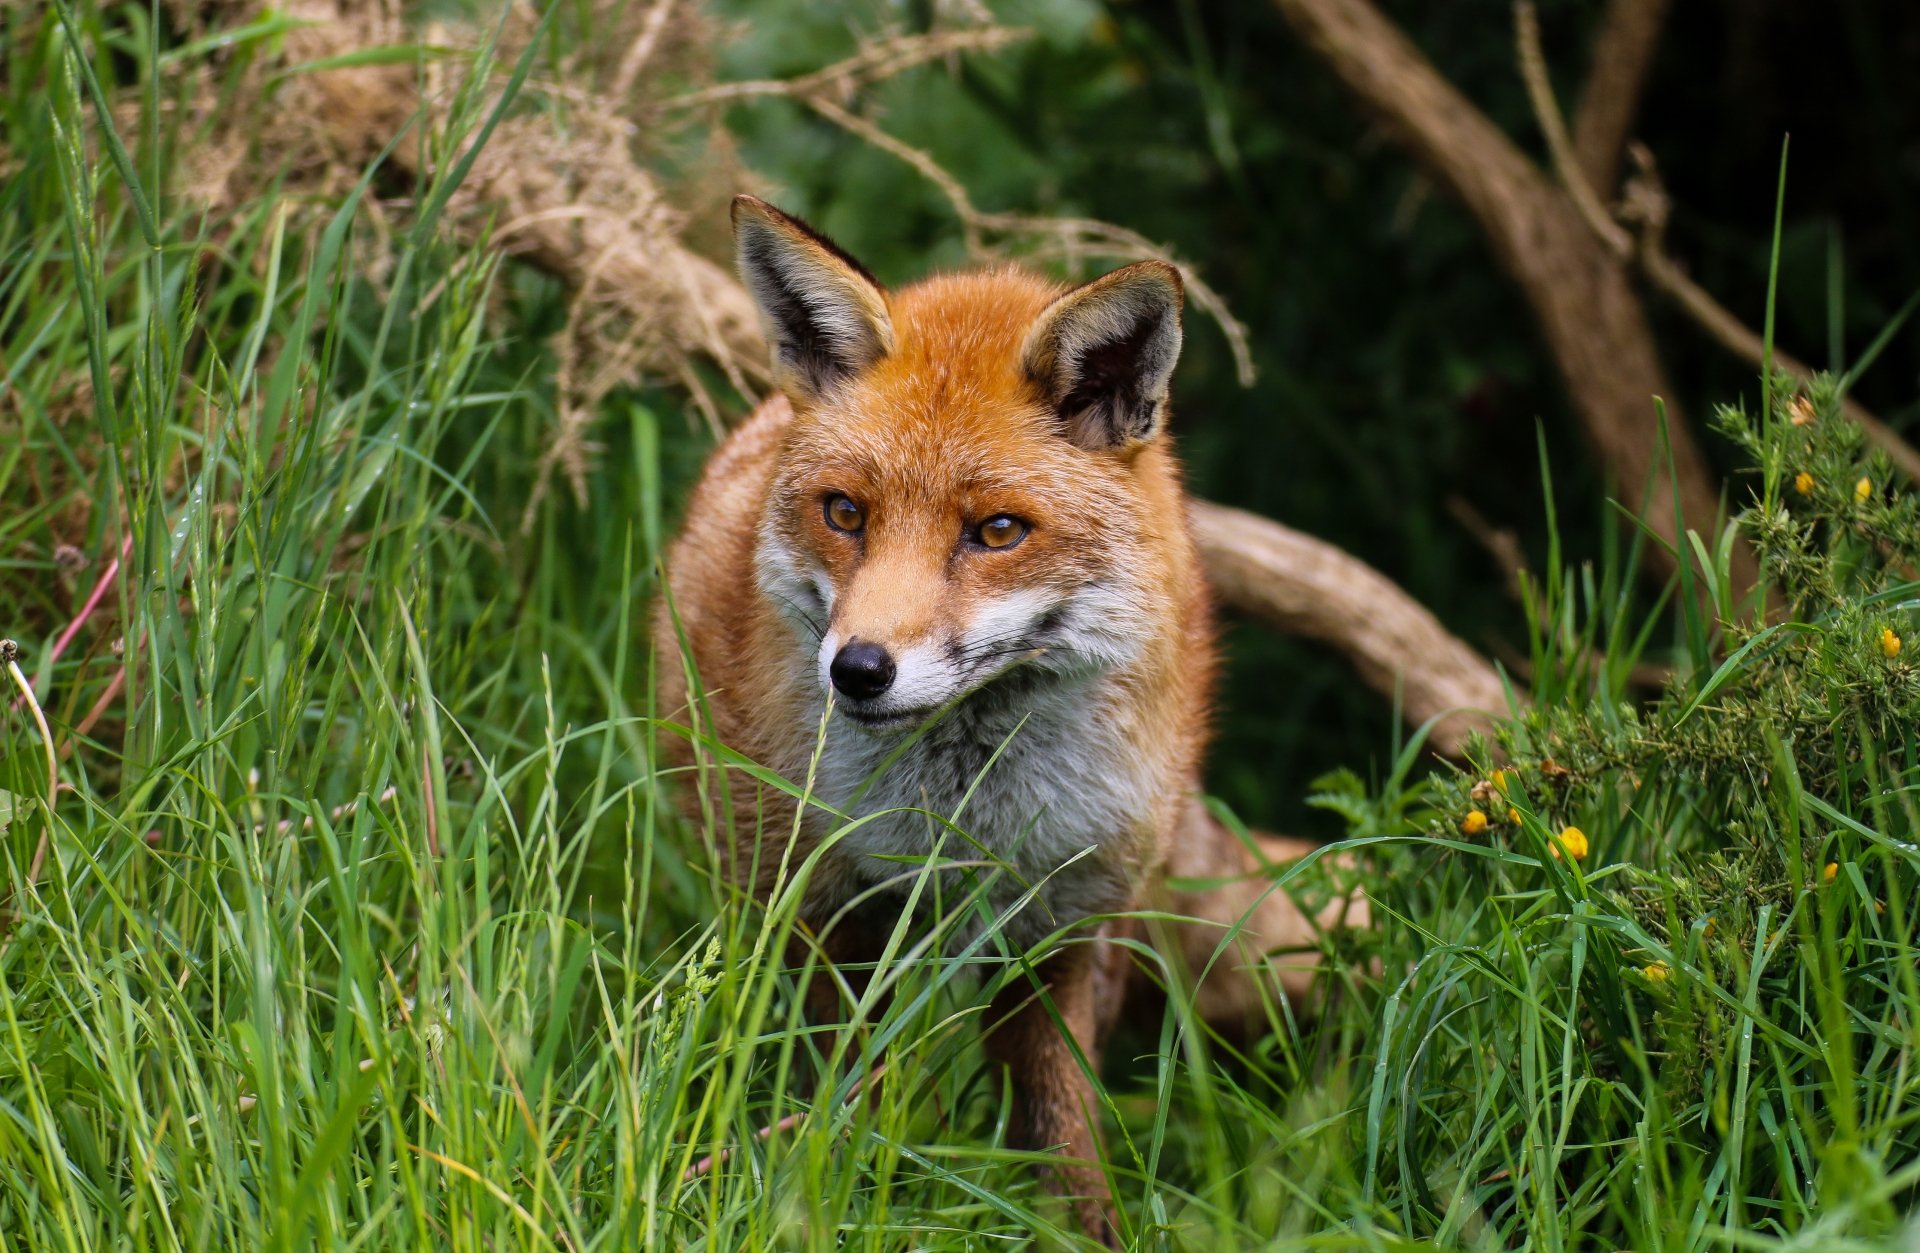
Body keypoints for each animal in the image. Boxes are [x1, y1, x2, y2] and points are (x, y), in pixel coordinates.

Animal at [655, 195, 1362, 1243]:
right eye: (845, 512)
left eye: (996, 531)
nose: (858, 670)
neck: (961, 816)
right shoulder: (829, 913)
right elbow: (845, 1094)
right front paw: (822, 1198)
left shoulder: (1064, 925)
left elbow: (1059, 1118)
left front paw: (1085, 1230)